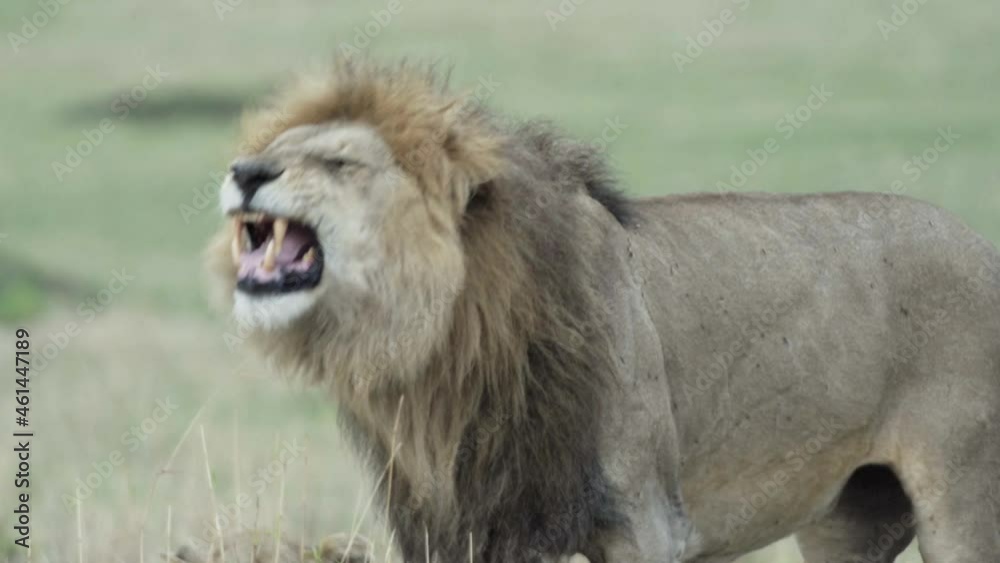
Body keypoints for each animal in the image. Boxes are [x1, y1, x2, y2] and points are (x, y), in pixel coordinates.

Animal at [204, 59, 1000, 562]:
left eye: (339, 163)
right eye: (272, 149)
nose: (243, 171)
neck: (447, 344)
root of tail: (980, 245)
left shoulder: (644, 526)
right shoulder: (461, 524)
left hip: (964, 502)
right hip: (850, 522)